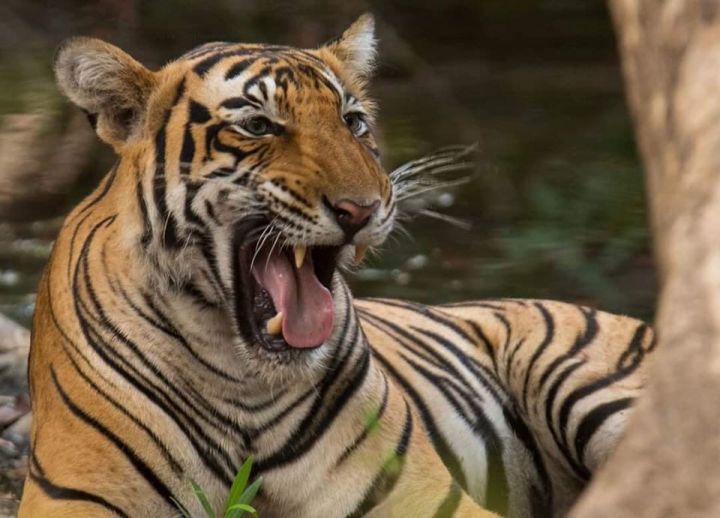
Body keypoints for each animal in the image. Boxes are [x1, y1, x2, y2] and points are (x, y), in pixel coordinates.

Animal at [18, 13, 654, 518]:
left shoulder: (422, 495)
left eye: (354, 122)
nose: (361, 208)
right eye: (258, 125)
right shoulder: (76, 498)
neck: (241, 375)